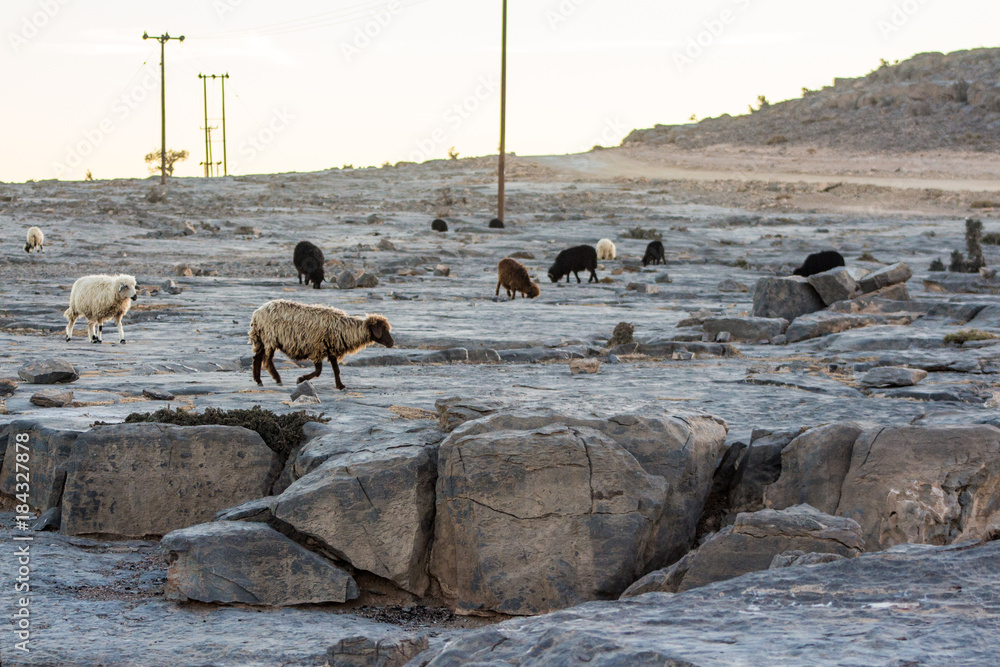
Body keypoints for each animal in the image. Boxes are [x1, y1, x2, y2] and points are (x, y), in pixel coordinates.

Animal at [248, 299, 394, 390]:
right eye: (383, 330)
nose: (392, 343)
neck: (345, 330)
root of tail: (257, 313)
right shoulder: (317, 349)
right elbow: (318, 371)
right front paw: (301, 379)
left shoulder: (331, 349)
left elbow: (336, 370)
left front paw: (340, 386)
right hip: (270, 338)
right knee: (267, 360)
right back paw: (277, 378)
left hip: (261, 339)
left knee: (257, 358)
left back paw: (259, 380)